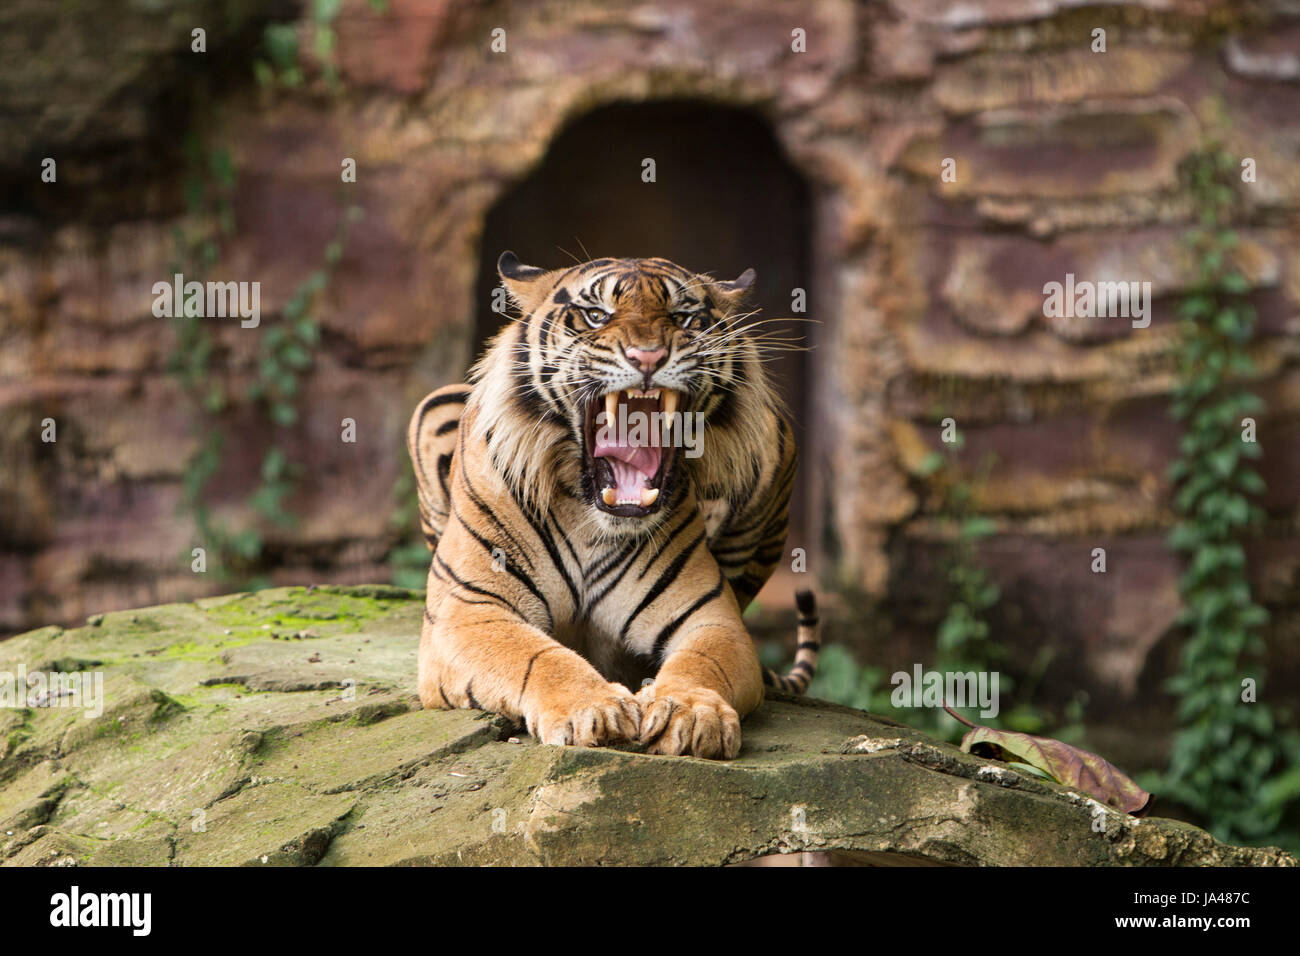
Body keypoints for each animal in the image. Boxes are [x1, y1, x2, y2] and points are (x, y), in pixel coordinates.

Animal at [406, 252, 819, 759]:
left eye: (685, 318)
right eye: (596, 315)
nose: (649, 357)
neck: (590, 519)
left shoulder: (711, 618)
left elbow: (703, 664)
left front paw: (688, 711)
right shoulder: (469, 607)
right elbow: (533, 655)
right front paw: (591, 708)